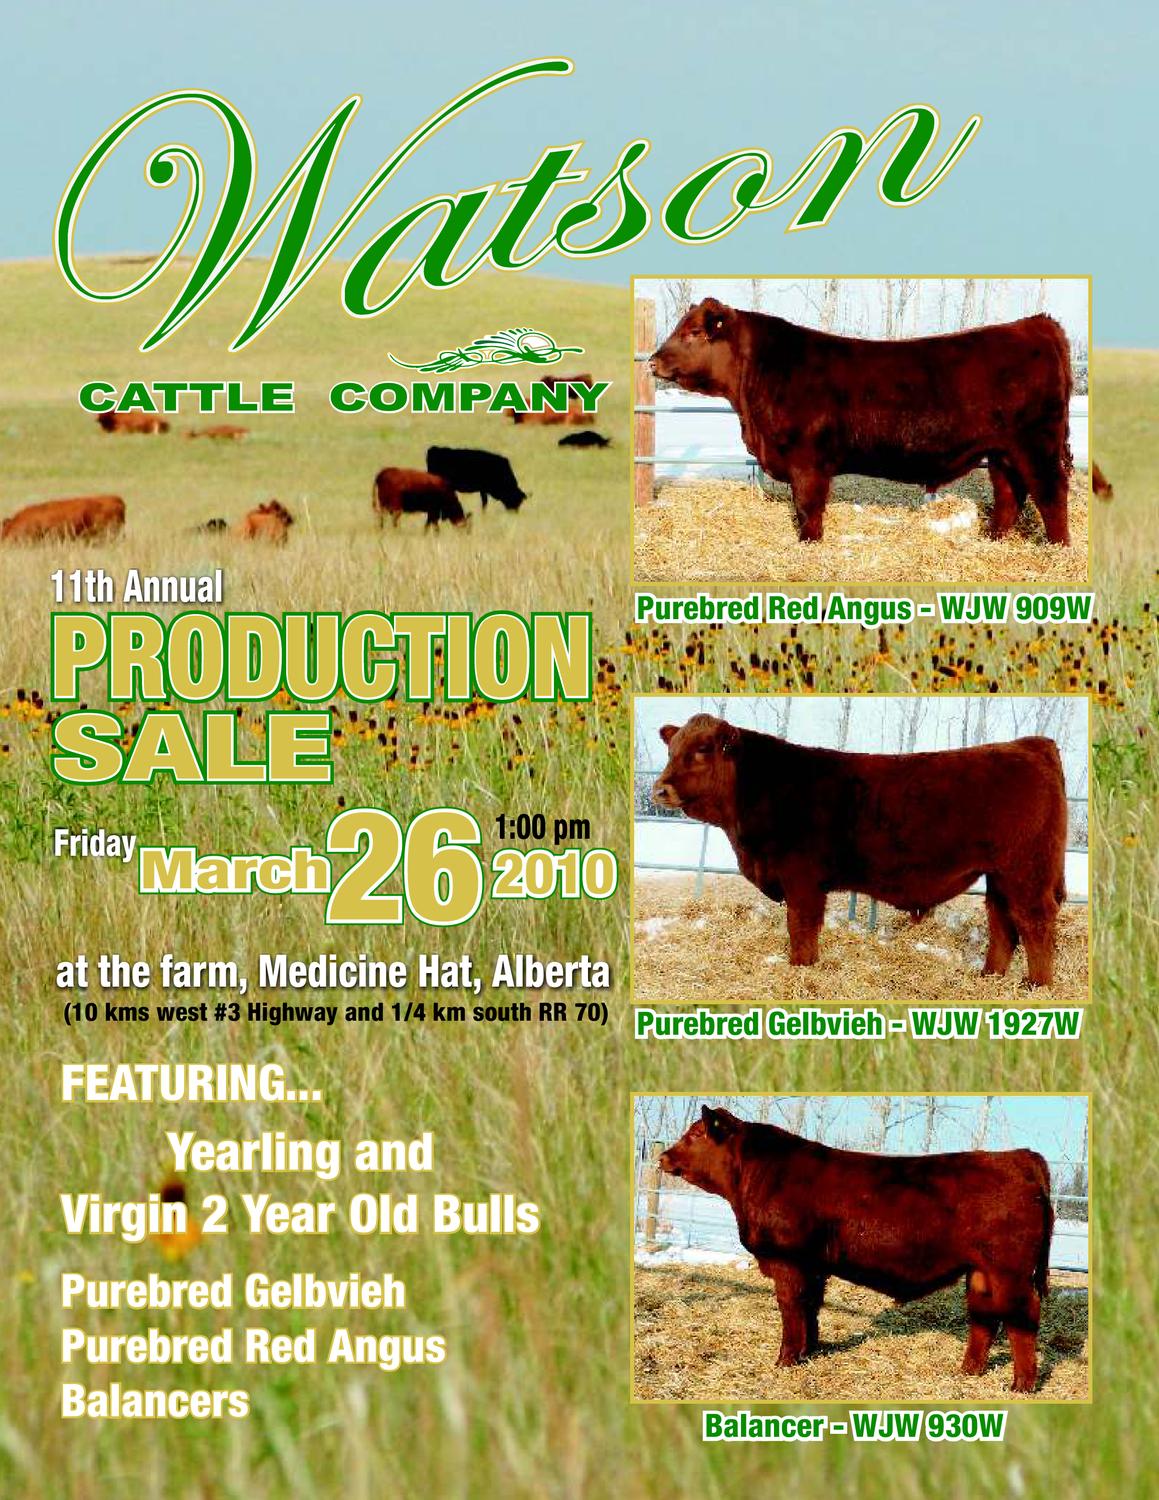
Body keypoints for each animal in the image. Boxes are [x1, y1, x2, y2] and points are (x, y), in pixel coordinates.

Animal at [650, 299, 1074, 544]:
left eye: (692, 332)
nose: (652, 361)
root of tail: (1036, 324)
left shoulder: (807, 462)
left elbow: (808, 507)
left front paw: (809, 544)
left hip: (1037, 444)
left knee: (1051, 494)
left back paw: (1057, 548)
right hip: (1002, 451)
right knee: (1010, 495)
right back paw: (993, 539)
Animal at [652, 714, 1067, 985]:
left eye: (703, 749)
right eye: (671, 749)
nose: (660, 788)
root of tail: (1030, 743)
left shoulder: (801, 879)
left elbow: (800, 927)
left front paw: (801, 968)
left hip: (1026, 870)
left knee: (1034, 921)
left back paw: (1037, 985)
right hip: (1001, 874)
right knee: (1002, 920)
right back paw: (989, 976)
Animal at [658, 1107, 1054, 1393]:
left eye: (695, 1134)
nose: (662, 1157)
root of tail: (1018, 1157)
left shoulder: (788, 1261)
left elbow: (791, 1310)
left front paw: (785, 1360)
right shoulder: (813, 1267)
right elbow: (810, 1308)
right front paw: (809, 1351)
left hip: (1010, 1271)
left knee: (1022, 1319)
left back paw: (1021, 1385)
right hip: (982, 1272)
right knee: (985, 1318)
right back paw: (968, 1371)